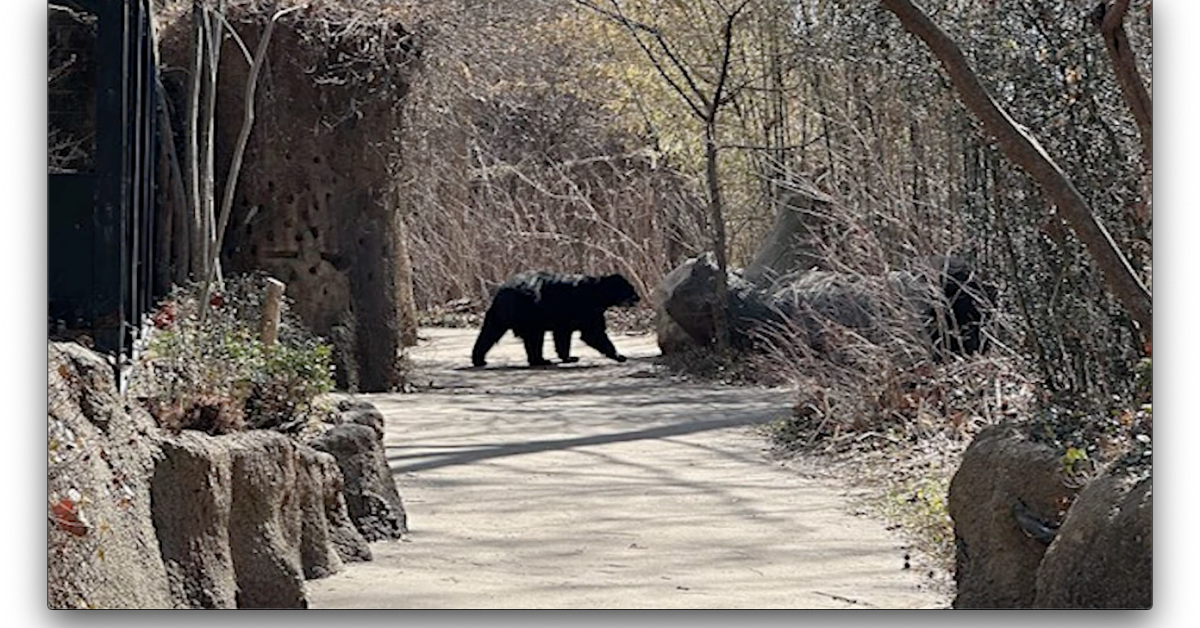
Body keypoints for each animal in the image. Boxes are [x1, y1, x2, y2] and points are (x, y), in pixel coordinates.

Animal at [471, 271, 641, 367]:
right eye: (630, 289)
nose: (638, 298)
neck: (599, 294)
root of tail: (503, 292)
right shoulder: (585, 308)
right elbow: (592, 333)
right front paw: (619, 356)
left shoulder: (567, 317)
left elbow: (562, 336)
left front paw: (568, 357)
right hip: (529, 312)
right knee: (534, 337)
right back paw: (540, 360)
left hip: (499, 314)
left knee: (489, 333)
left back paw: (478, 359)